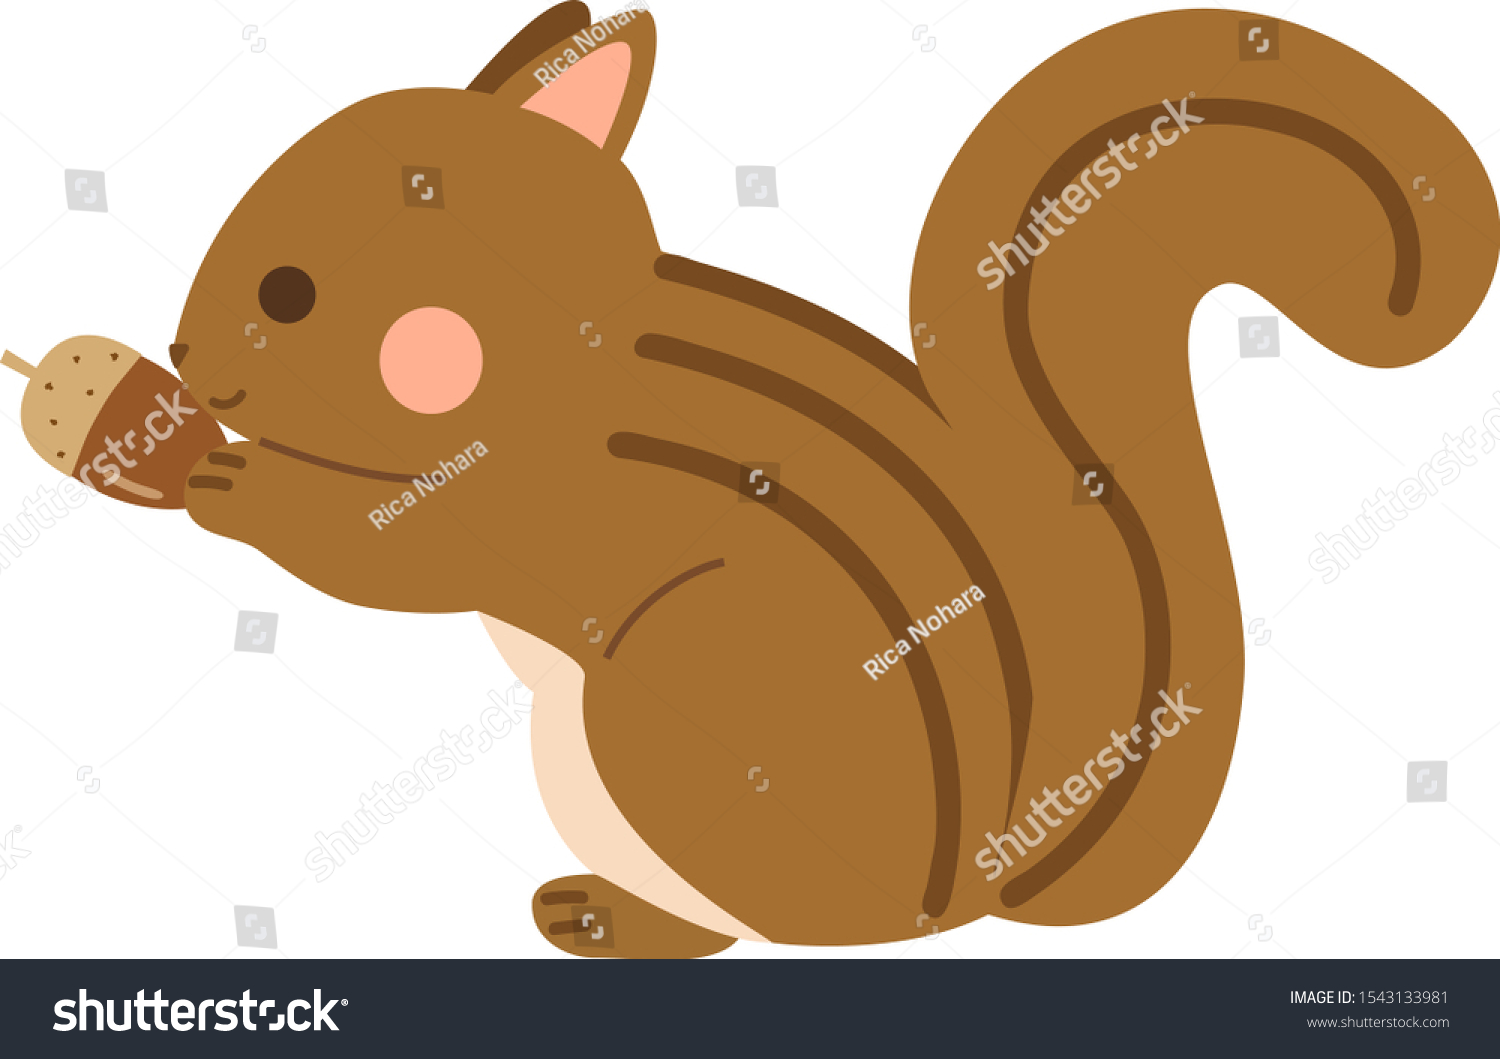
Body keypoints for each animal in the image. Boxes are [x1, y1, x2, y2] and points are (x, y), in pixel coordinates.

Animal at [167, 4, 1498, 957]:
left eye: (289, 291)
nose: (185, 363)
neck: (553, 335)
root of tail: (972, 890)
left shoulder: (532, 487)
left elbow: (387, 550)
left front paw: (226, 482)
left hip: (676, 721)